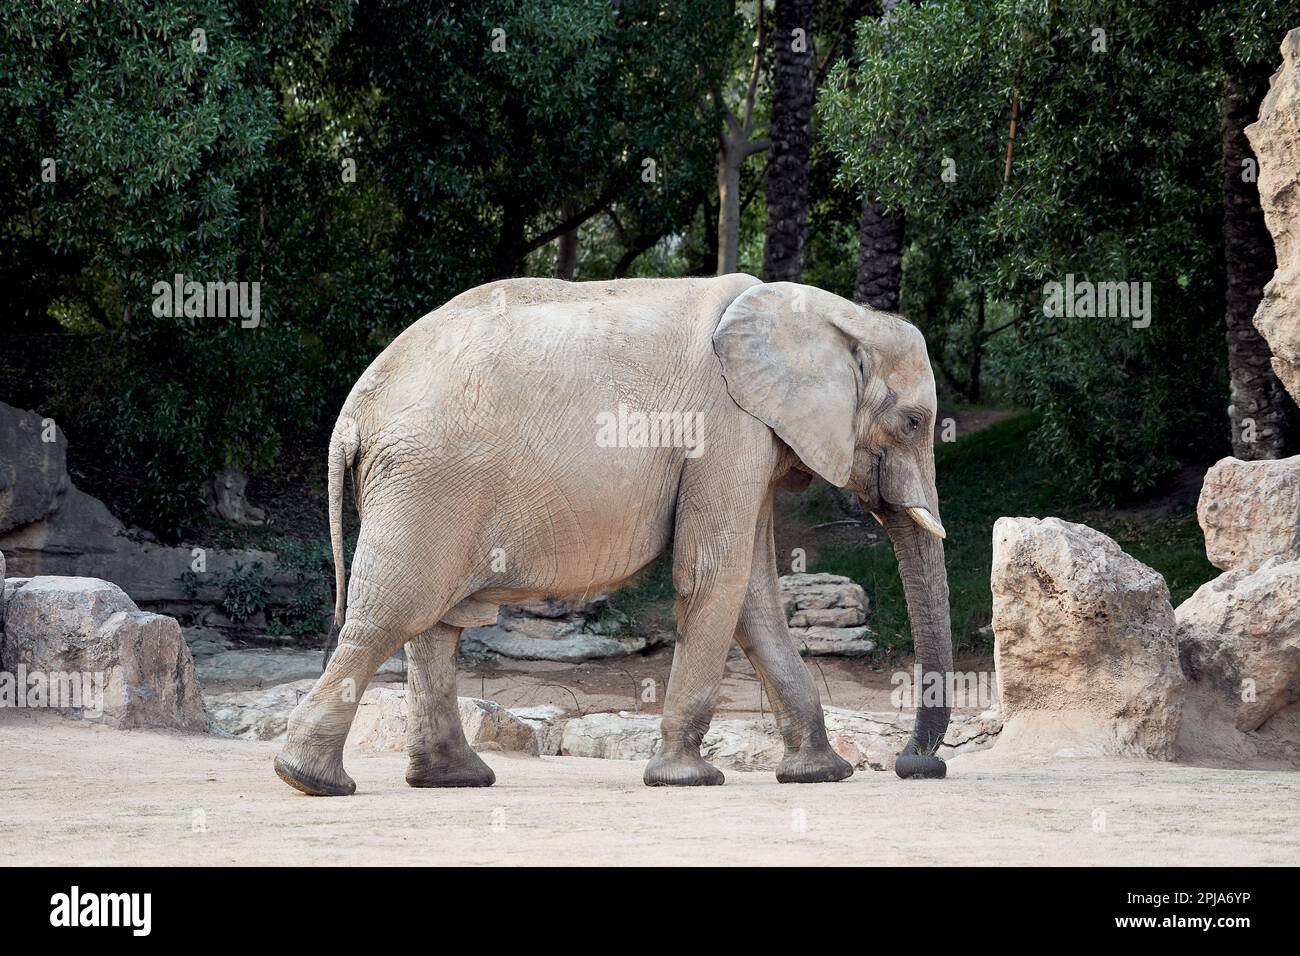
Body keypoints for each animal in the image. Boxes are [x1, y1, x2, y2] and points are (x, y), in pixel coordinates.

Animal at [274, 274, 953, 796]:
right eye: (914, 422)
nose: (916, 765)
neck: (831, 314)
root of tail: (354, 410)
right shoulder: (725, 428)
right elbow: (717, 575)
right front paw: (688, 781)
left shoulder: (752, 438)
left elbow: (754, 594)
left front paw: (820, 775)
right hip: (428, 481)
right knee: (393, 614)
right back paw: (310, 780)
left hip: (424, 486)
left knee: (432, 625)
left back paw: (453, 779)